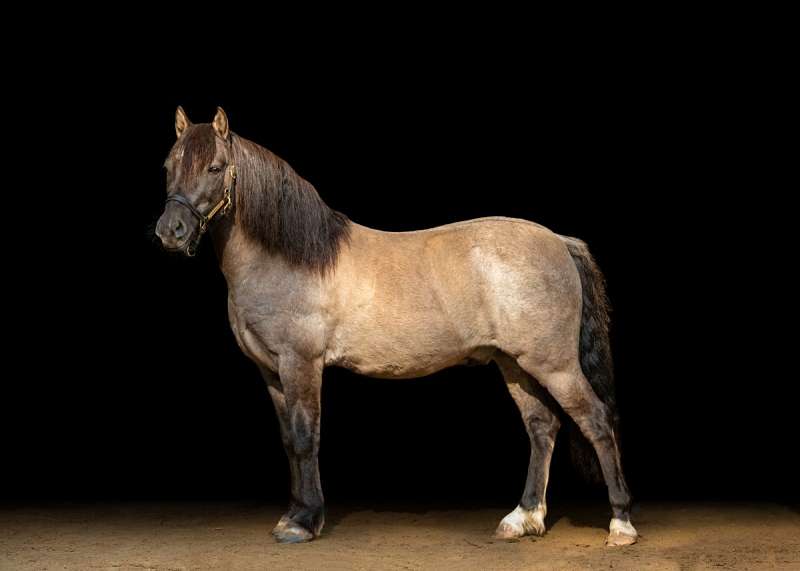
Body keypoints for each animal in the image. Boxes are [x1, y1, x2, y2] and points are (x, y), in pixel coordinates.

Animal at [154, 106, 638, 547]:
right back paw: (523, 518)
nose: (170, 231)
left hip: (554, 364)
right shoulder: (270, 371)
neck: (292, 259)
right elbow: (290, 441)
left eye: (215, 167)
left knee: (595, 421)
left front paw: (304, 523)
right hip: (515, 364)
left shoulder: (301, 364)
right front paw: (292, 515)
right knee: (542, 427)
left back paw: (620, 524)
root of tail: (558, 240)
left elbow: (306, 436)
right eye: (168, 166)